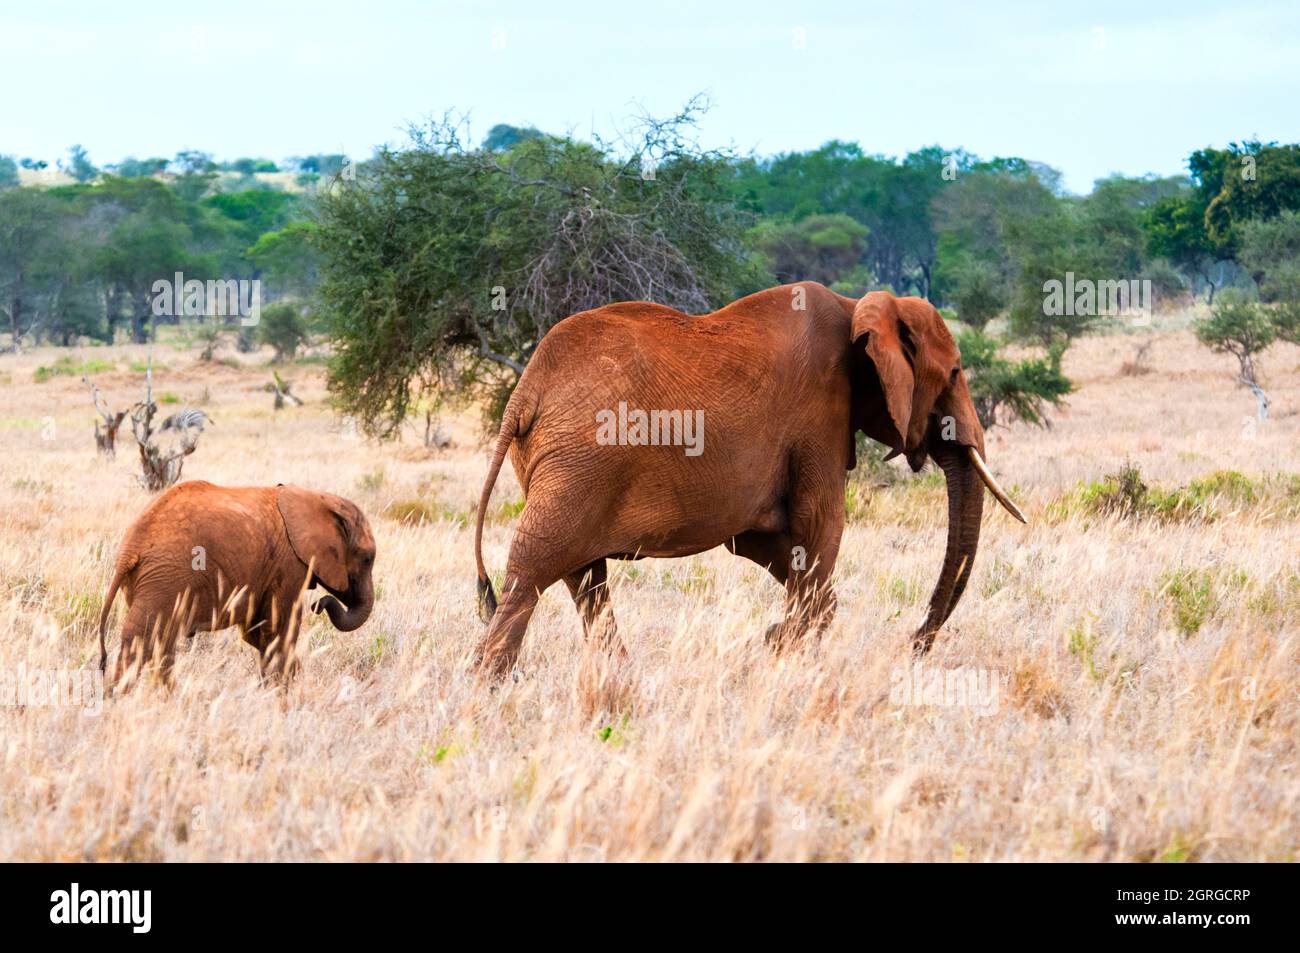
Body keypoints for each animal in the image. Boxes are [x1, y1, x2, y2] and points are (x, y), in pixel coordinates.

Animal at [97, 481, 376, 686]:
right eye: (368, 558)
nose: (318, 605)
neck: (319, 498)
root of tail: (131, 547)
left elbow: (257, 632)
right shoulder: (289, 566)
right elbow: (278, 630)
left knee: (161, 641)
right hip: (164, 577)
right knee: (141, 639)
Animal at [472, 282, 1025, 677]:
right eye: (955, 374)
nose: (914, 647)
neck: (859, 308)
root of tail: (526, 390)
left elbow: (765, 542)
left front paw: (778, 640)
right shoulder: (819, 417)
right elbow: (820, 526)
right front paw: (786, 648)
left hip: (564, 463)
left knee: (584, 576)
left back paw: (615, 675)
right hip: (579, 463)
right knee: (535, 567)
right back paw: (490, 683)